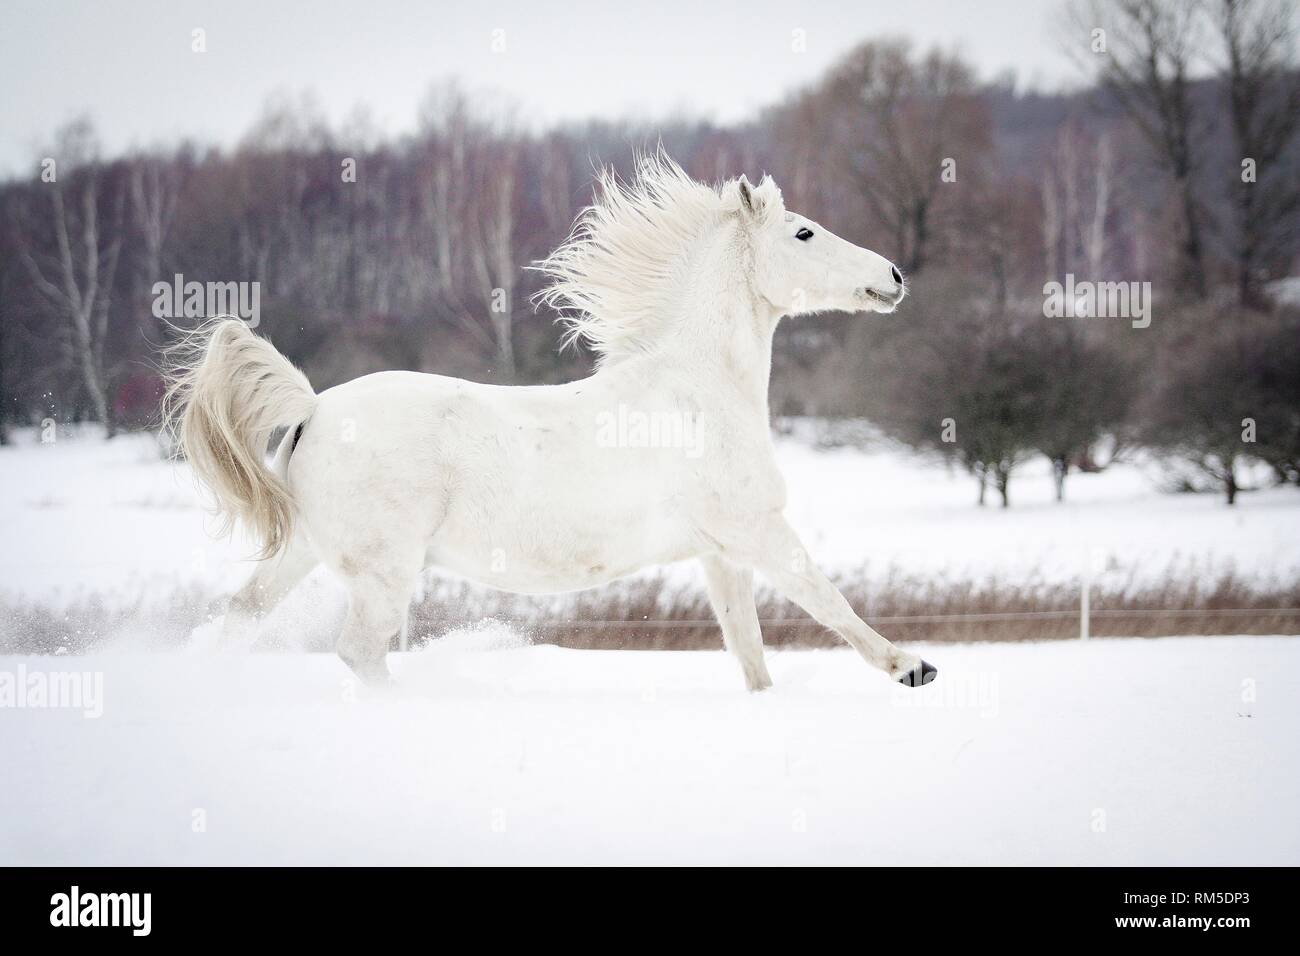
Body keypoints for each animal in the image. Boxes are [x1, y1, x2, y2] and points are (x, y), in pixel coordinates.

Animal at [166, 153, 937, 692]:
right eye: (803, 232)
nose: (894, 277)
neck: (698, 393)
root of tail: (314, 410)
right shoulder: (756, 530)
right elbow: (828, 600)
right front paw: (912, 668)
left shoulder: (721, 553)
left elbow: (749, 652)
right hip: (384, 571)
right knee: (358, 651)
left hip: (306, 551)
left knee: (241, 617)